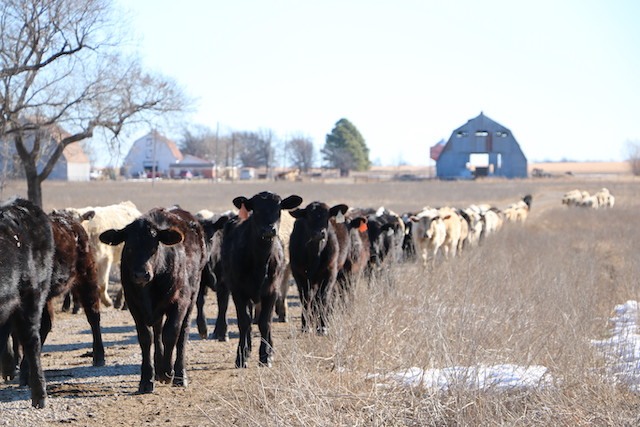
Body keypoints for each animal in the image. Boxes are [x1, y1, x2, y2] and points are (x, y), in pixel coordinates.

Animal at [99, 206, 209, 393]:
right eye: (129, 247)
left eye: (154, 246)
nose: (141, 274)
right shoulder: (134, 304)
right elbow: (146, 337)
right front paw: (146, 379)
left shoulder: (180, 301)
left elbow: (171, 334)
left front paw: (168, 372)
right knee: (157, 332)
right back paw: (158, 369)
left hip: (192, 296)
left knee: (183, 333)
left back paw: (179, 374)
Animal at [221, 191, 302, 368]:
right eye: (256, 210)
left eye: (278, 210)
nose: (269, 229)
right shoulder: (238, 291)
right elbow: (244, 322)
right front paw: (241, 356)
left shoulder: (271, 291)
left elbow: (265, 323)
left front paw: (265, 356)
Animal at [289, 202, 348, 335]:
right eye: (309, 216)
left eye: (327, 217)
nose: (319, 233)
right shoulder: (299, 275)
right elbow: (305, 298)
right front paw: (306, 326)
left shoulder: (330, 273)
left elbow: (323, 297)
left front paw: (322, 327)